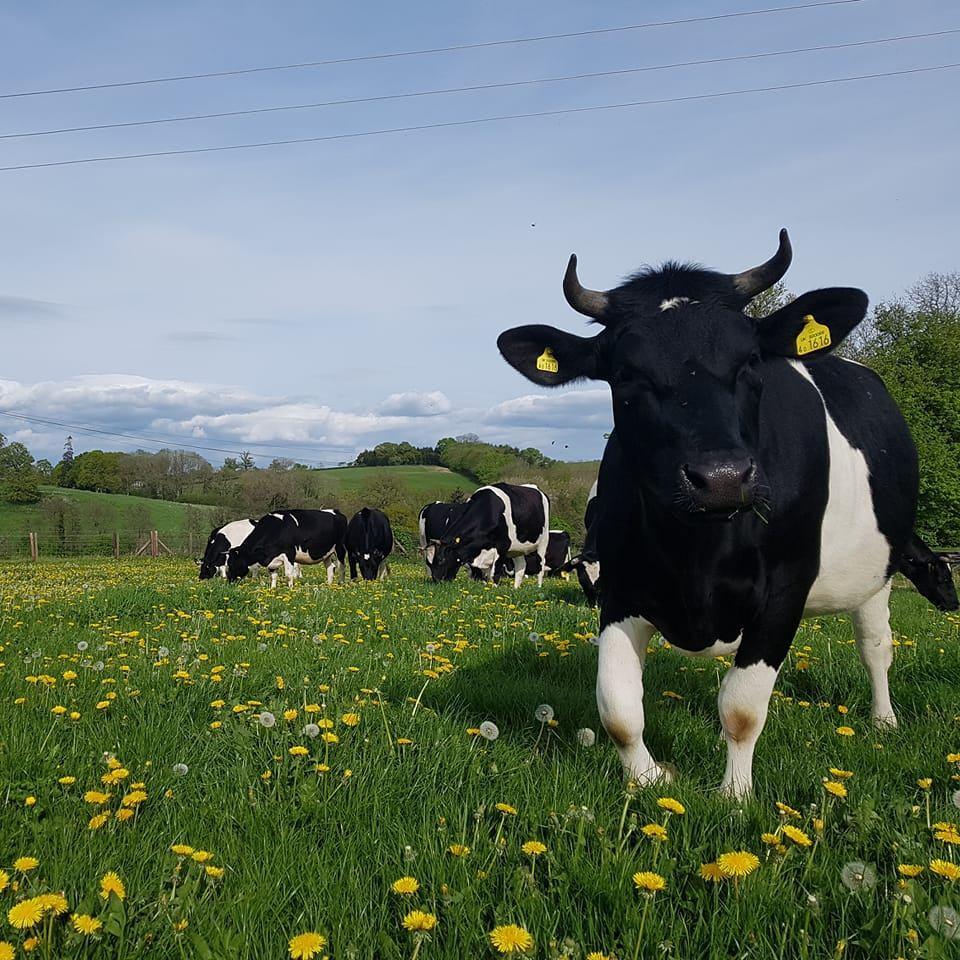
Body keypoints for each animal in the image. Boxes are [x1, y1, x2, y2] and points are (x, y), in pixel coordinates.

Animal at [497, 228, 942, 797]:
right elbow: (618, 708)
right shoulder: (620, 586)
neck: (698, 552)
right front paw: (650, 780)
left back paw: (883, 719)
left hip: (879, 571)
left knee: (875, 646)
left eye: (751, 361)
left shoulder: (784, 590)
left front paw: (735, 795)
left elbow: (743, 706)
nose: (723, 478)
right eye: (624, 374)